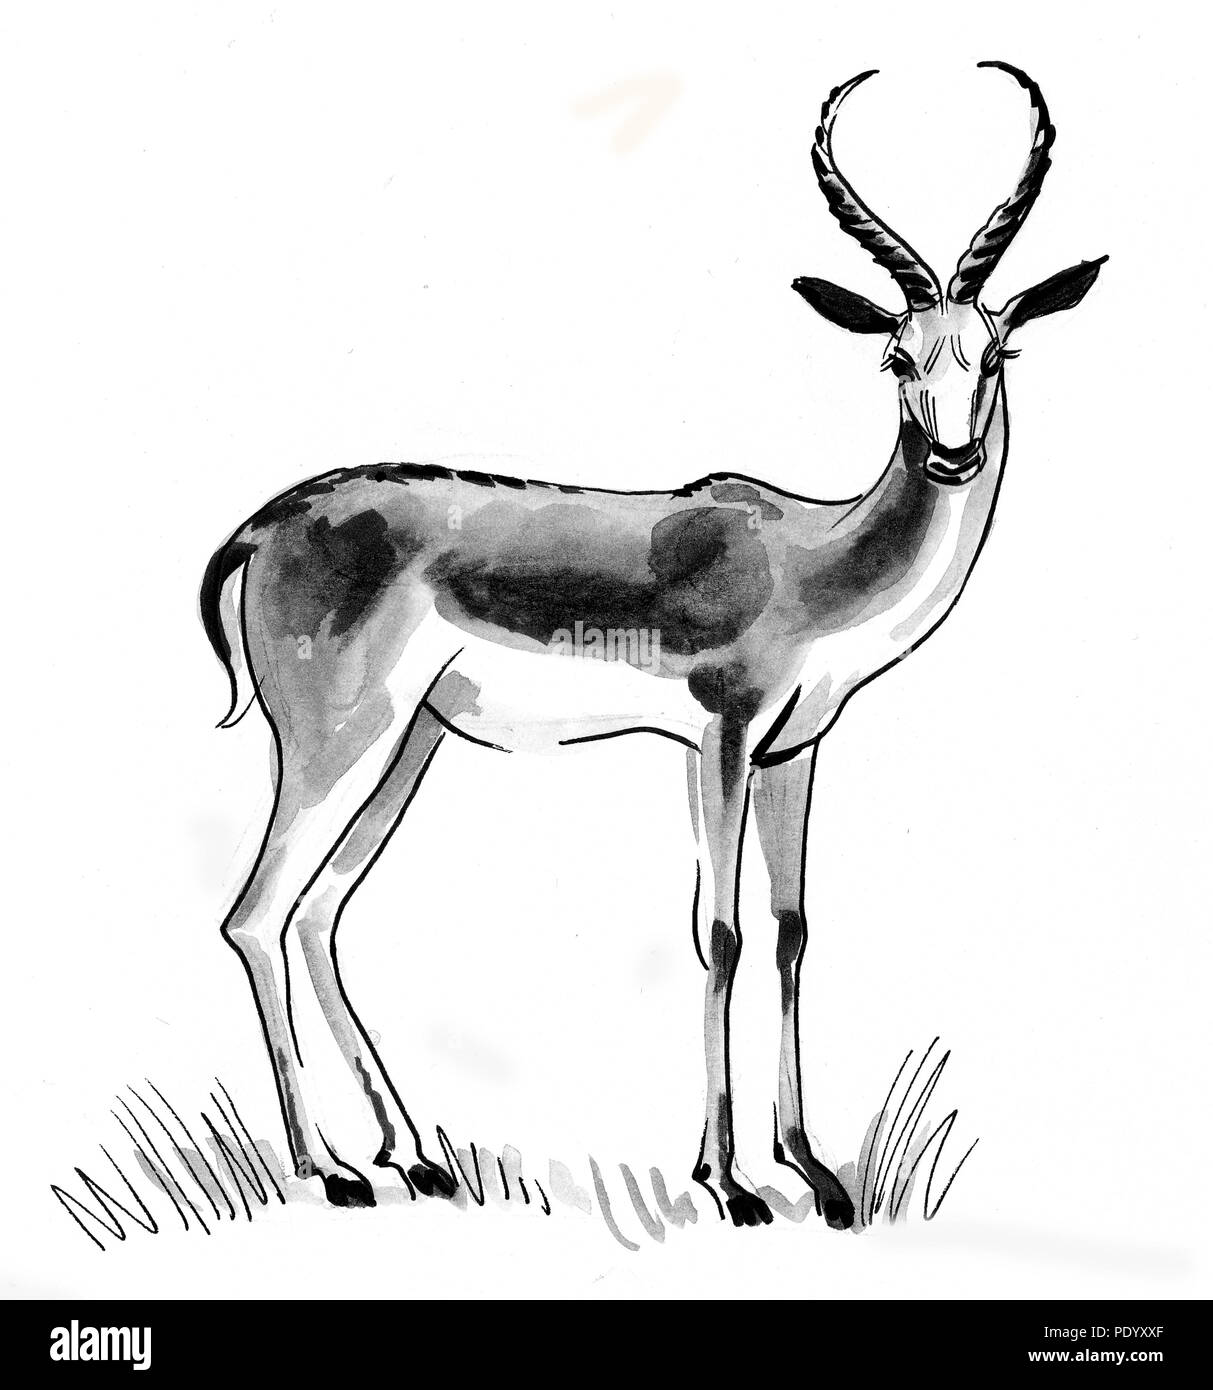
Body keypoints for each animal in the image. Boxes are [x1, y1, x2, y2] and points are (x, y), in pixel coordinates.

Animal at [201, 62, 1104, 1228]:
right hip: (336, 741)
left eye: (995, 350)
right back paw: (330, 1170)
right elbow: (718, 933)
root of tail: (267, 524)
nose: (950, 455)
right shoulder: (720, 737)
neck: (812, 557)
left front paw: (817, 1175)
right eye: (896, 355)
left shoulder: (794, 751)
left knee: (317, 914)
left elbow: (790, 928)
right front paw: (730, 1183)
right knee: (257, 914)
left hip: (407, 745)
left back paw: (415, 1158)